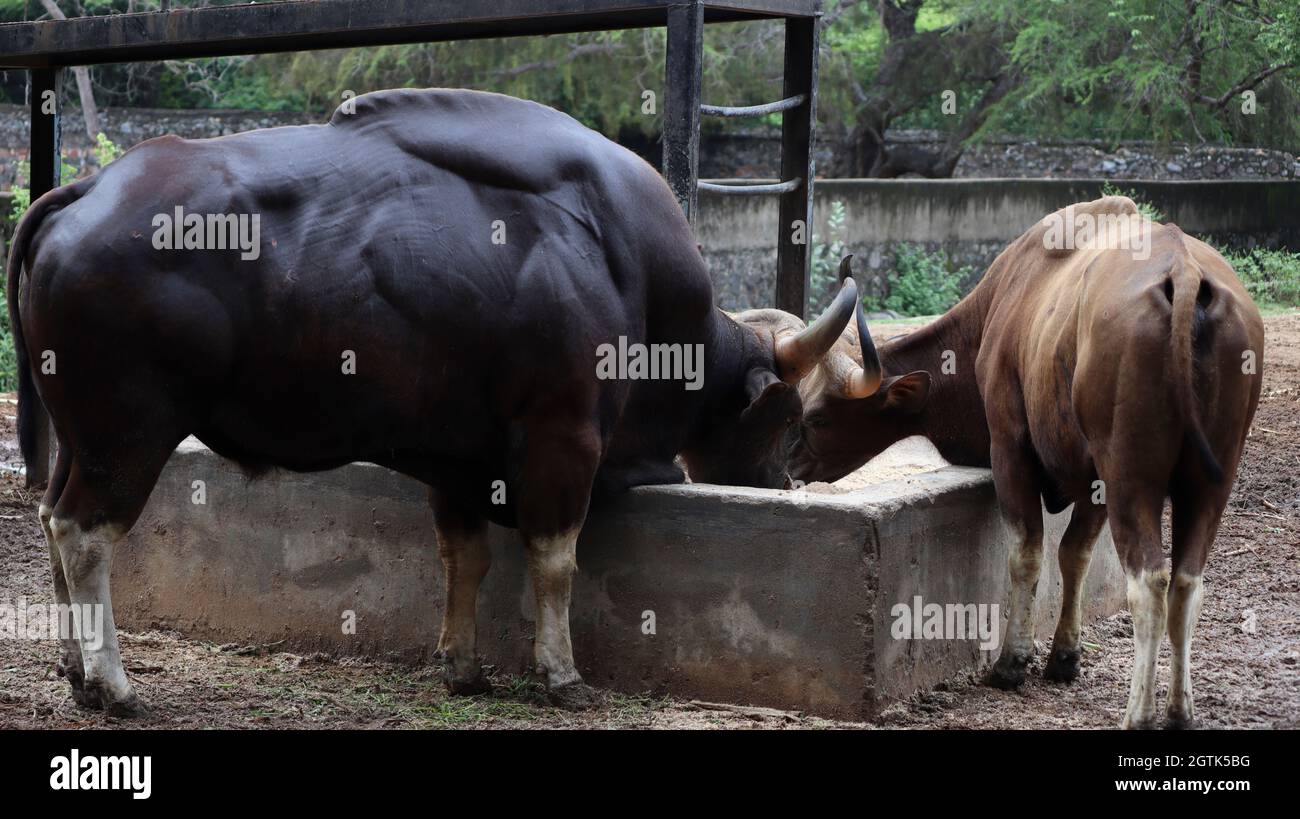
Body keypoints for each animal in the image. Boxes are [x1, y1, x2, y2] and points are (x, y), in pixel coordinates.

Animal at [6, 88, 881, 715]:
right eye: (790, 421)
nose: (787, 481)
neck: (618, 263)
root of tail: (85, 189)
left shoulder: (458, 459)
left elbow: (466, 556)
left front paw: (463, 665)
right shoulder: (563, 437)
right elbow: (554, 558)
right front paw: (562, 672)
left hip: (80, 436)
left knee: (50, 519)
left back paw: (73, 669)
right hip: (129, 434)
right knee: (85, 533)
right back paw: (115, 686)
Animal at [785, 197, 1264, 728]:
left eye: (817, 416)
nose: (788, 466)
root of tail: (1183, 274)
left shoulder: (1011, 450)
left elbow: (1026, 554)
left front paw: (1011, 662)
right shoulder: (1094, 481)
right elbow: (1073, 554)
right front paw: (1064, 657)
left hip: (1130, 476)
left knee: (1149, 582)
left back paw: (1138, 712)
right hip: (1209, 482)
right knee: (1186, 581)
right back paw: (1180, 709)